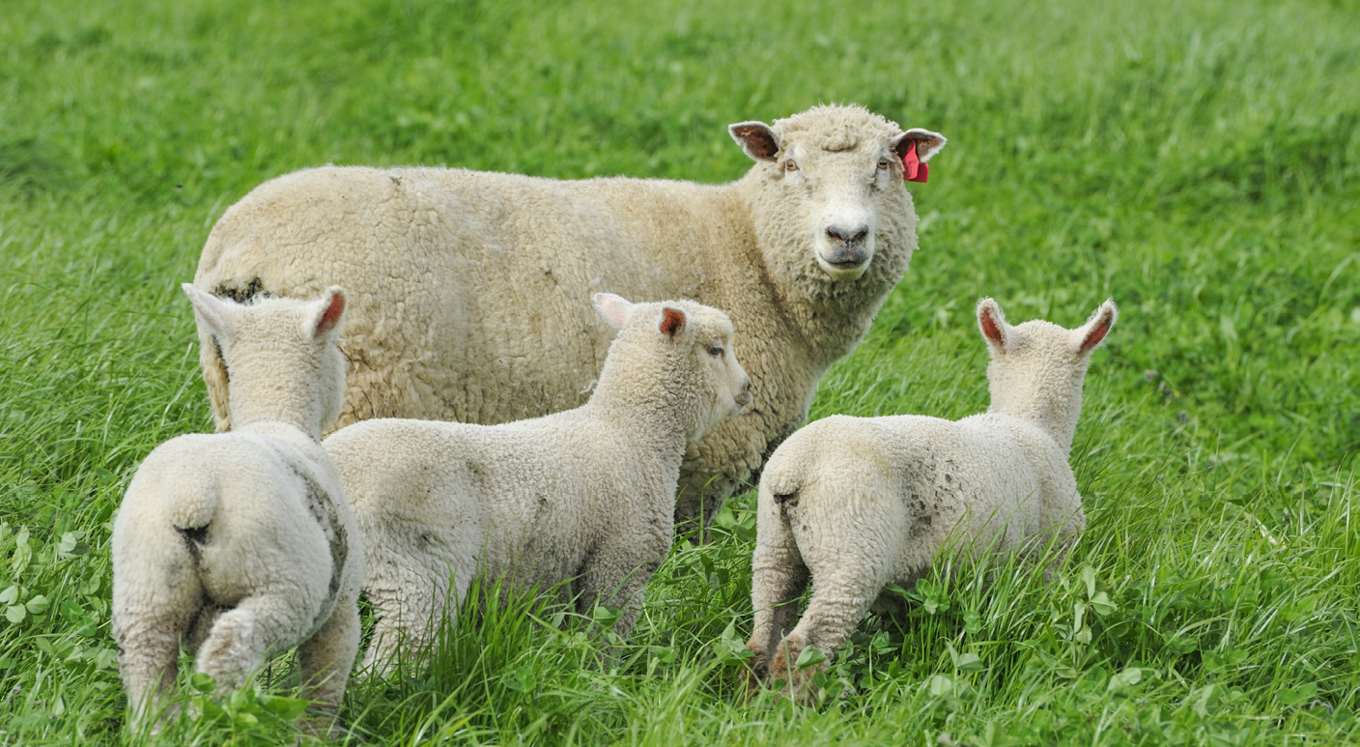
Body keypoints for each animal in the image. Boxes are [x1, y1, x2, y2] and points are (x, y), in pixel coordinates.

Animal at [111, 285, 362, 734]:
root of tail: (193, 491)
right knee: (229, 646)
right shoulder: (343, 607)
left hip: (146, 586)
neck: (277, 416)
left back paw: (157, 731)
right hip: (277, 578)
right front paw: (316, 735)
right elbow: (326, 680)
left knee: (147, 665)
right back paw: (212, 722)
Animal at [194, 104, 947, 536]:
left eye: (887, 165)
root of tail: (241, 248)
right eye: (789, 164)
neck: (750, 250)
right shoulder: (703, 459)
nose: (846, 236)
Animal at [323, 294, 752, 674]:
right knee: (401, 647)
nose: (747, 388)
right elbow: (603, 636)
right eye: (715, 349)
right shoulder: (620, 561)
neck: (630, 430)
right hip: (413, 565)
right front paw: (600, 681)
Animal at [743, 297, 1118, 701]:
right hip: (852, 548)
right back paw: (793, 705)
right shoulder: (1049, 555)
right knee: (803, 645)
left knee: (763, 632)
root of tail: (794, 469)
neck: (1031, 423)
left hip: (775, 544)